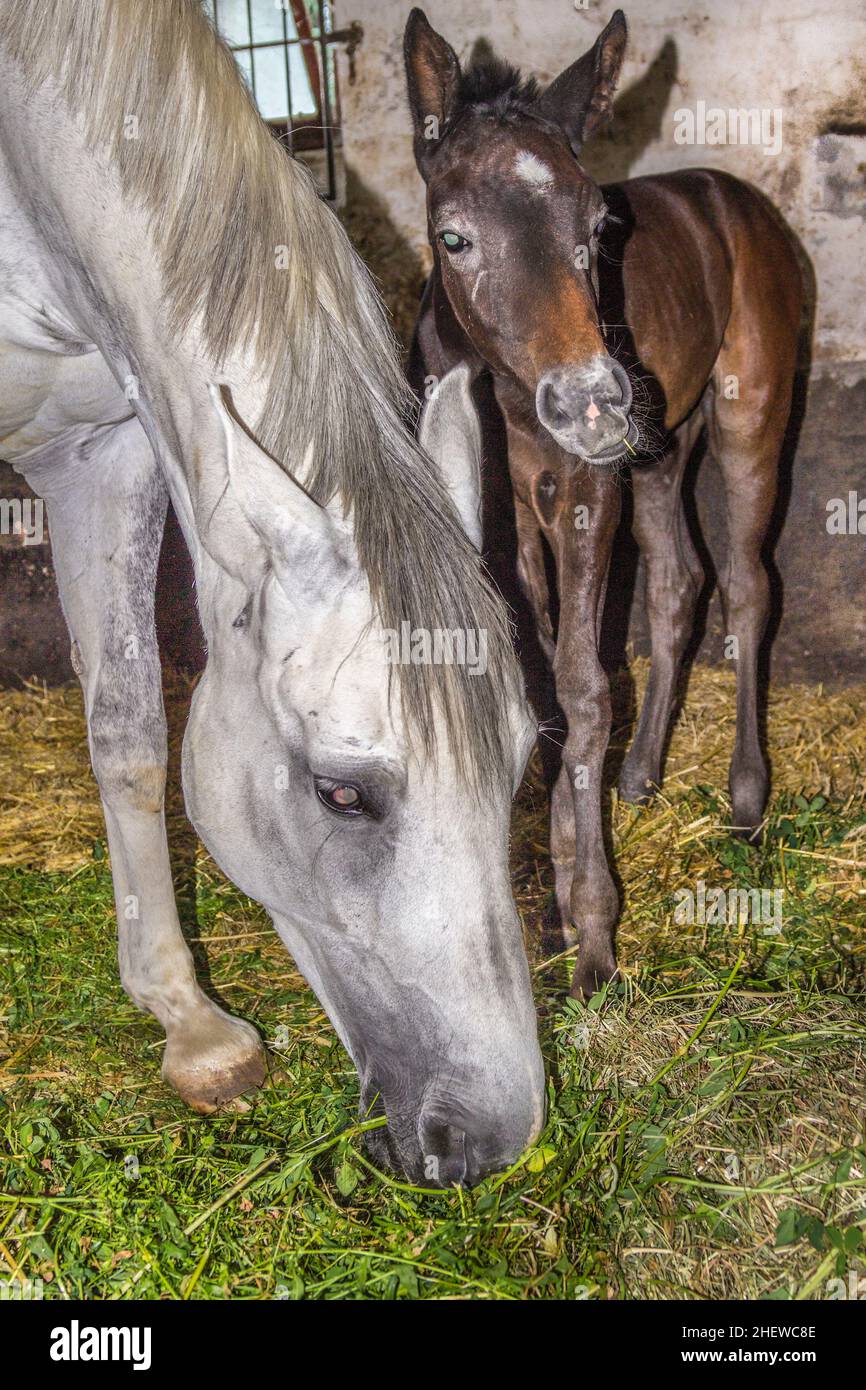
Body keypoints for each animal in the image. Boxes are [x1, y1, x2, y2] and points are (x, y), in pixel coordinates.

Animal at [0, 0, 546, 1187]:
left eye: (521, 767)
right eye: (342, 793)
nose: (487, 1140)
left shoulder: (98, 448)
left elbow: (127, 732)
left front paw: (187, 1021)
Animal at [404, 9, 803, 998]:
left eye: (596, 226)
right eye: (454, 237)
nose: (592, 402)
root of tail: (728, 195)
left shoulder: (584, 497)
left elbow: (583, 690)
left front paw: (590, 934)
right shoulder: (502, 523)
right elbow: (540, 681)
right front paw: (551, 900)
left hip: (745, 412)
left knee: (747, 585)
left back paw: (745, 801)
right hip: (662, 449)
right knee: (678, 581)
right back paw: (642, 774)